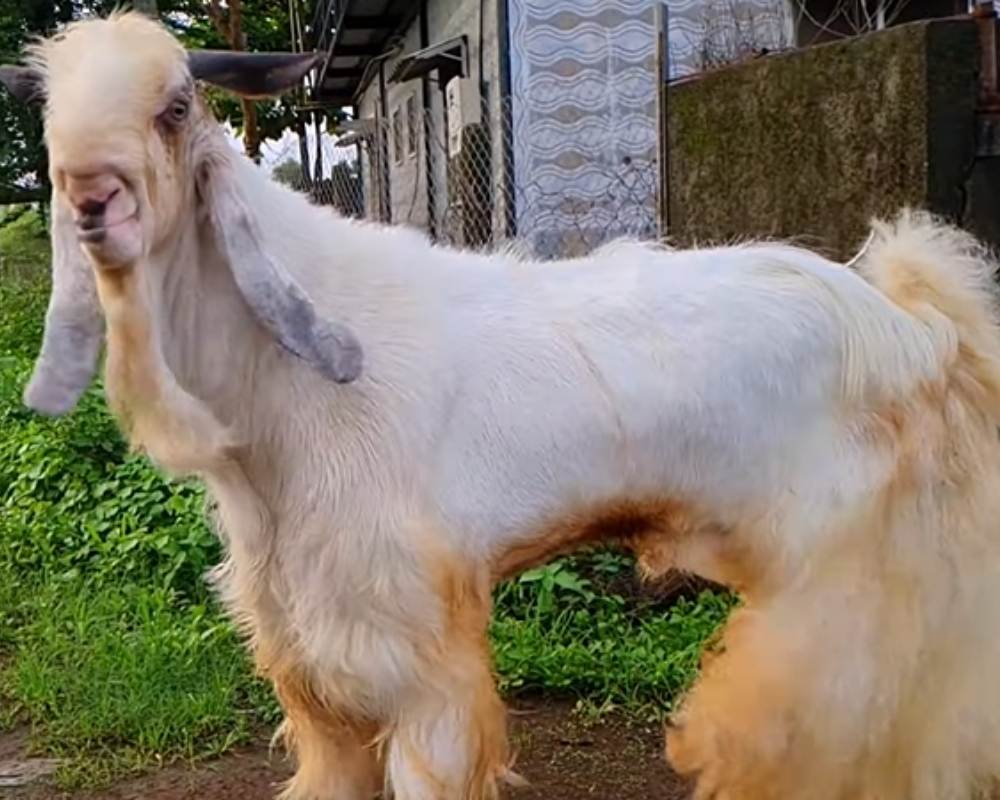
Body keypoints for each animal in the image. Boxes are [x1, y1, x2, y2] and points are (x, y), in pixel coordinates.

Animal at [5, 12, 1000, 800]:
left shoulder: (417, 651)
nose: (93, 199)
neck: (273, 415)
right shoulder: (310, 657)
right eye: (48, 112)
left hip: (854, 590)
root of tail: (914, 326)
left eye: (174, 106)